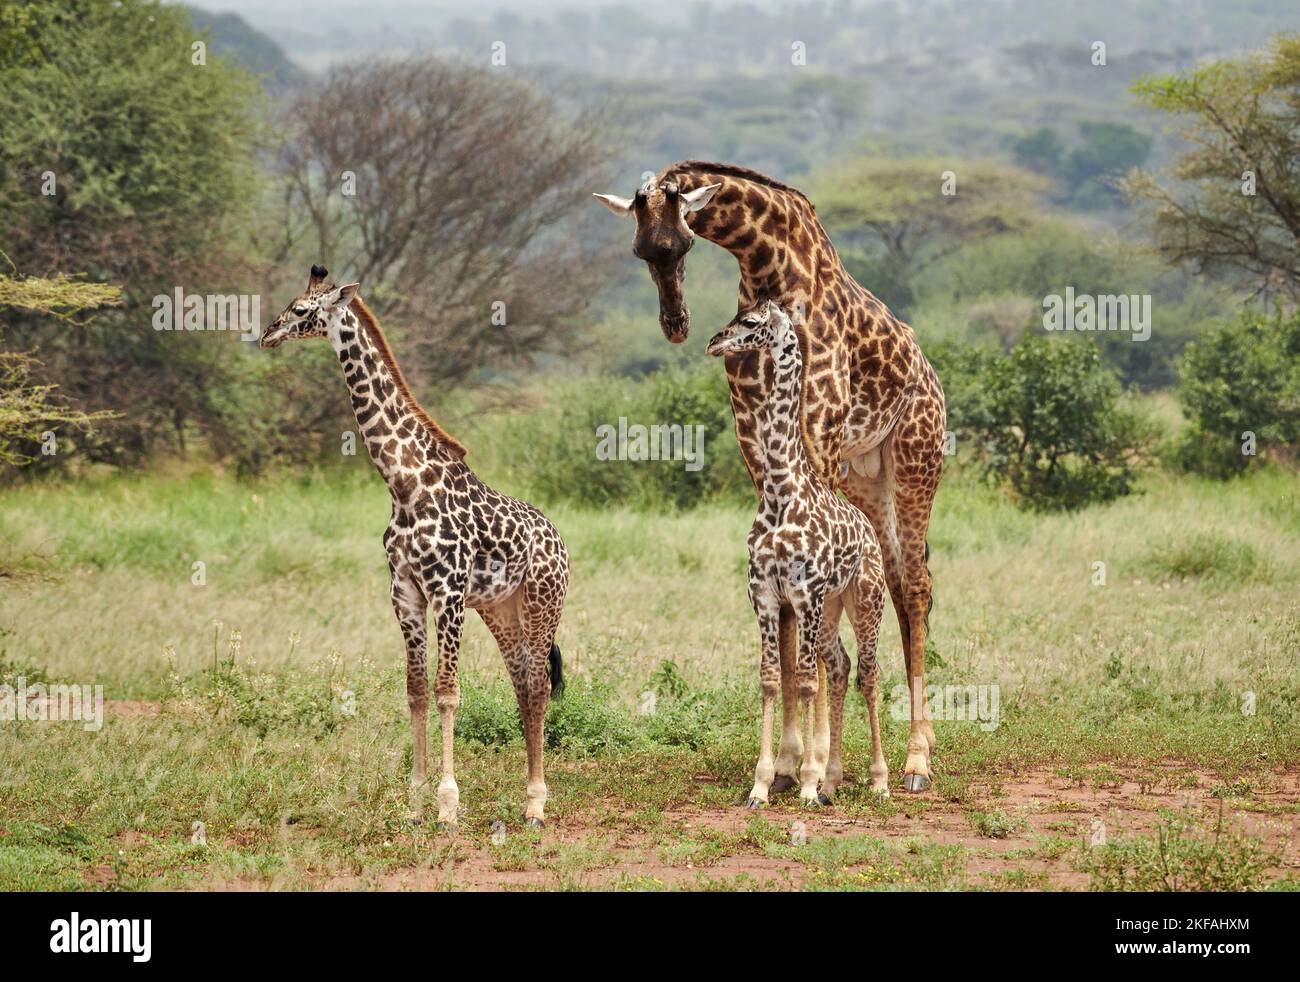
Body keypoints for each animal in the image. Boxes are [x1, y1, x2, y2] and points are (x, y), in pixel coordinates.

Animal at [260, 265, 570, 829]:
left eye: (301, 310)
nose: (267, 334)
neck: (402, 482)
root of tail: (558, 539)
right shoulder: (404, 592)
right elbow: (416, 692)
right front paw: (414, 802)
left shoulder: (447, 591)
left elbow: (448, 693)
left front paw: (448, 806)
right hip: (502, 610)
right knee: (521, 685)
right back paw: (526, 797)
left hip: (543, 603)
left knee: (538, 687)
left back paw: (537, 805)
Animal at [706, 300, 889, 807]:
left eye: (750, 323)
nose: (713, 341)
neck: (780, 491)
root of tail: (870, 532)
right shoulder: (765, 594)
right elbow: (772, 677)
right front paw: (762, 784)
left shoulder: (805, 592)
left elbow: (805, 680)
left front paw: (804, 783)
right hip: (830, 610)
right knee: (841, 667)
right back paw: (834, 780)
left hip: (865, 598)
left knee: (869, 672)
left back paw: (879, 779)